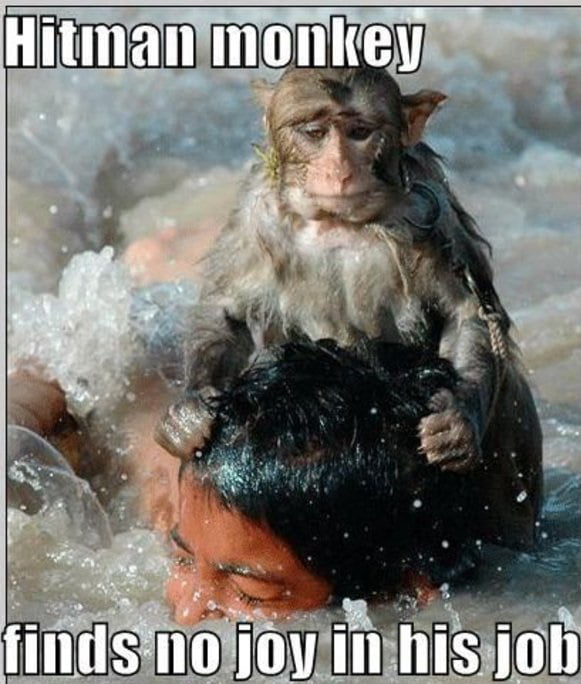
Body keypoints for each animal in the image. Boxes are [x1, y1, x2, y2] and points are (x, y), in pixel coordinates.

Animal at [156, 66, 542, 550]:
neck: (337, 222)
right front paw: (190, 409)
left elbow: (465, 312)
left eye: (359, 132)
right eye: (315, 133)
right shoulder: (255, 214)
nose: (338, 169)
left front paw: (458, 420)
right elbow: (225, 312)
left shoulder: (430, 211)